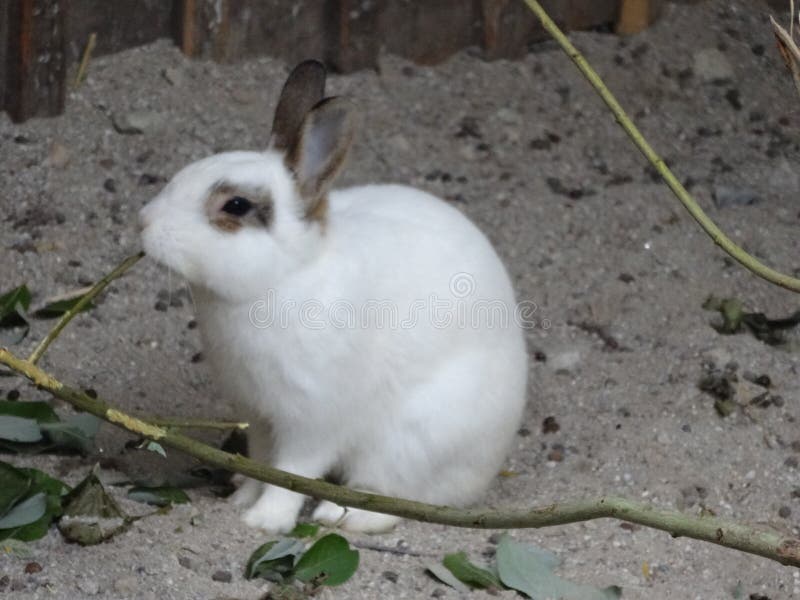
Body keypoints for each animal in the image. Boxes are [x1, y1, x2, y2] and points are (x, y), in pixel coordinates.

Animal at [139, 60, 528, 534]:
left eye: (235, 206)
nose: (144, 223)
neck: (284, 278)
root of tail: (486, 472)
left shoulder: (311, 421)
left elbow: (292, 473)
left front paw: (264, 521)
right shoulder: (261, 417)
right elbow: (262, 463)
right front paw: (242, 499)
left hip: (411, 439)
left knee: (394, 499)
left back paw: (338, 514)